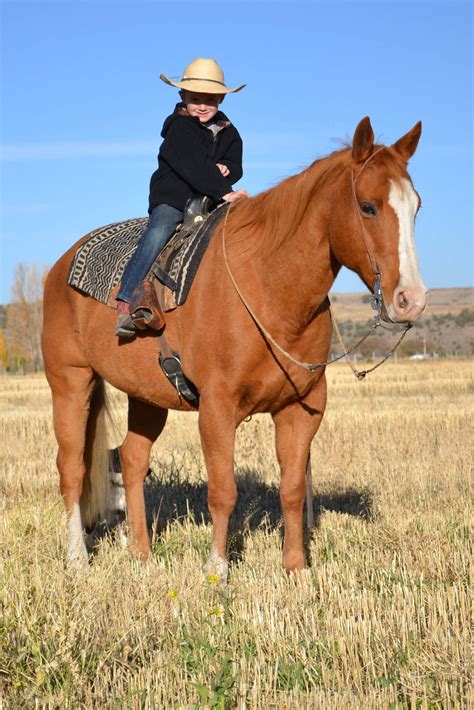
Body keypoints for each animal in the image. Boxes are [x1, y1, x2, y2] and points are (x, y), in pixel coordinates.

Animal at [42, 117, 427, 579]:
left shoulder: (302, 409)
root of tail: (60, 267)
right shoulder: (217, 408)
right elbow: (222, 490)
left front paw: (296, 568)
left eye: (416, 207)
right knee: (72, 467)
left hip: (146, 397)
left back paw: (141, 552)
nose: (410, 300)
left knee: (132, 461)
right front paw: (218, 568)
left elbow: (293, 490)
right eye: (368, 207)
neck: (268, 286)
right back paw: (76, 556)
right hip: (70, 382)